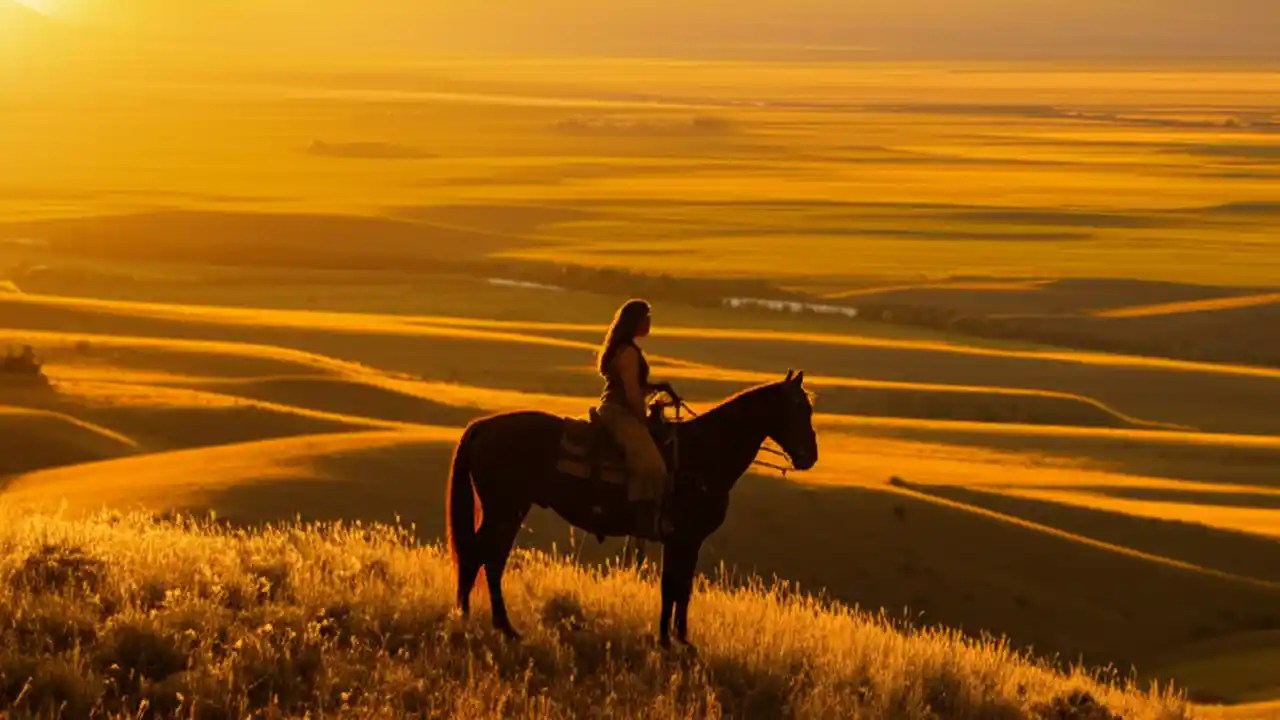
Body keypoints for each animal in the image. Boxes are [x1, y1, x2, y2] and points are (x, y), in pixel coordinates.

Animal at [446, 370, 818, 647]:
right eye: (798, 408)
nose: (809, 457)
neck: (702, 453)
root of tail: (481, 427)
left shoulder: (680, 541)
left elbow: (675, 587)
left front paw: (671, 638)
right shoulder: (685, 539)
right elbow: (676, 586)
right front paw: (675, 642)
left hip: (508, 510)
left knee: (485, 557)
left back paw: (481, 621)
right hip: (505, 509)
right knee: (484, 557)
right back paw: (488, 623)